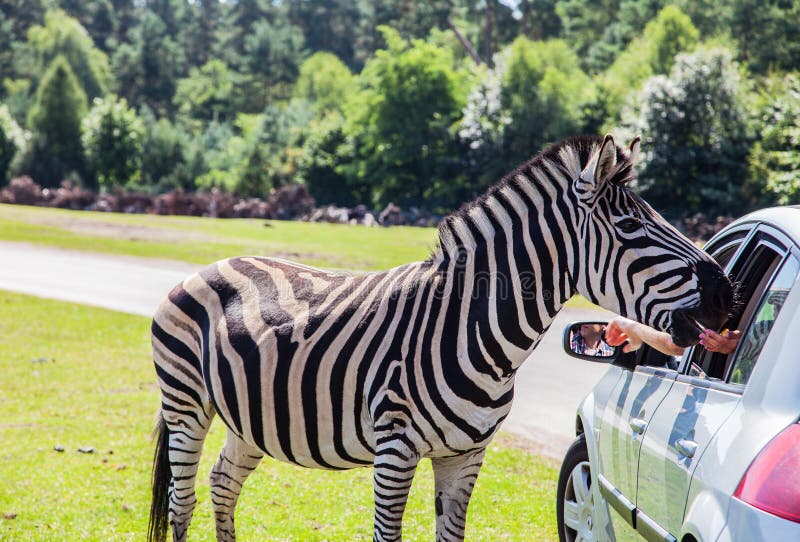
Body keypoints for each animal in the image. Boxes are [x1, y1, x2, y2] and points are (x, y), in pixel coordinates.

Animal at [148, 134, 733, 542]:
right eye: (632, 228)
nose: (726, 290)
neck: (473, 331)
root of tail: (209, 266)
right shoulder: (395, 447)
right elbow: (388, 534)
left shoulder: (466, 454)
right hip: (186, 404)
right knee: (183, 499)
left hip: (251, 418)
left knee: (223, 484)